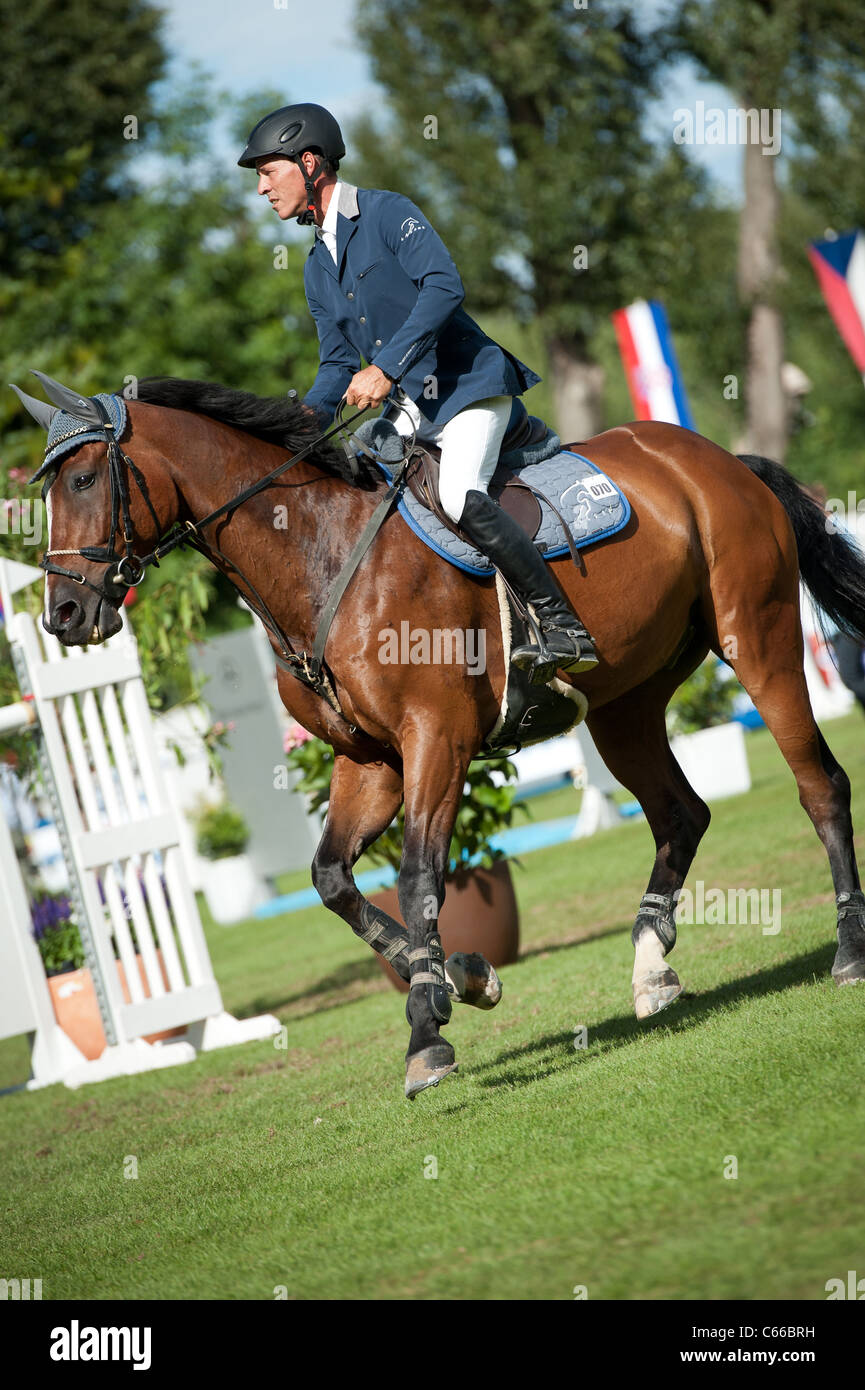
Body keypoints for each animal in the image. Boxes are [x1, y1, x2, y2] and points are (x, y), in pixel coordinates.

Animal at [15, 372, 865, 1099]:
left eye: (83, 480)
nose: (63, 617)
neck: (318, 553)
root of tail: (716, 459)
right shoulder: (369, 761)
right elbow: (332, 879)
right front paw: (460, 976)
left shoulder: (437, 739)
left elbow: (421, 876)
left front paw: (428, 1032)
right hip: (624, 703)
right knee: (680, 815)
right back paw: (651, 970)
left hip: (756, 640)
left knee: (818, 784)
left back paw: (848, 952)